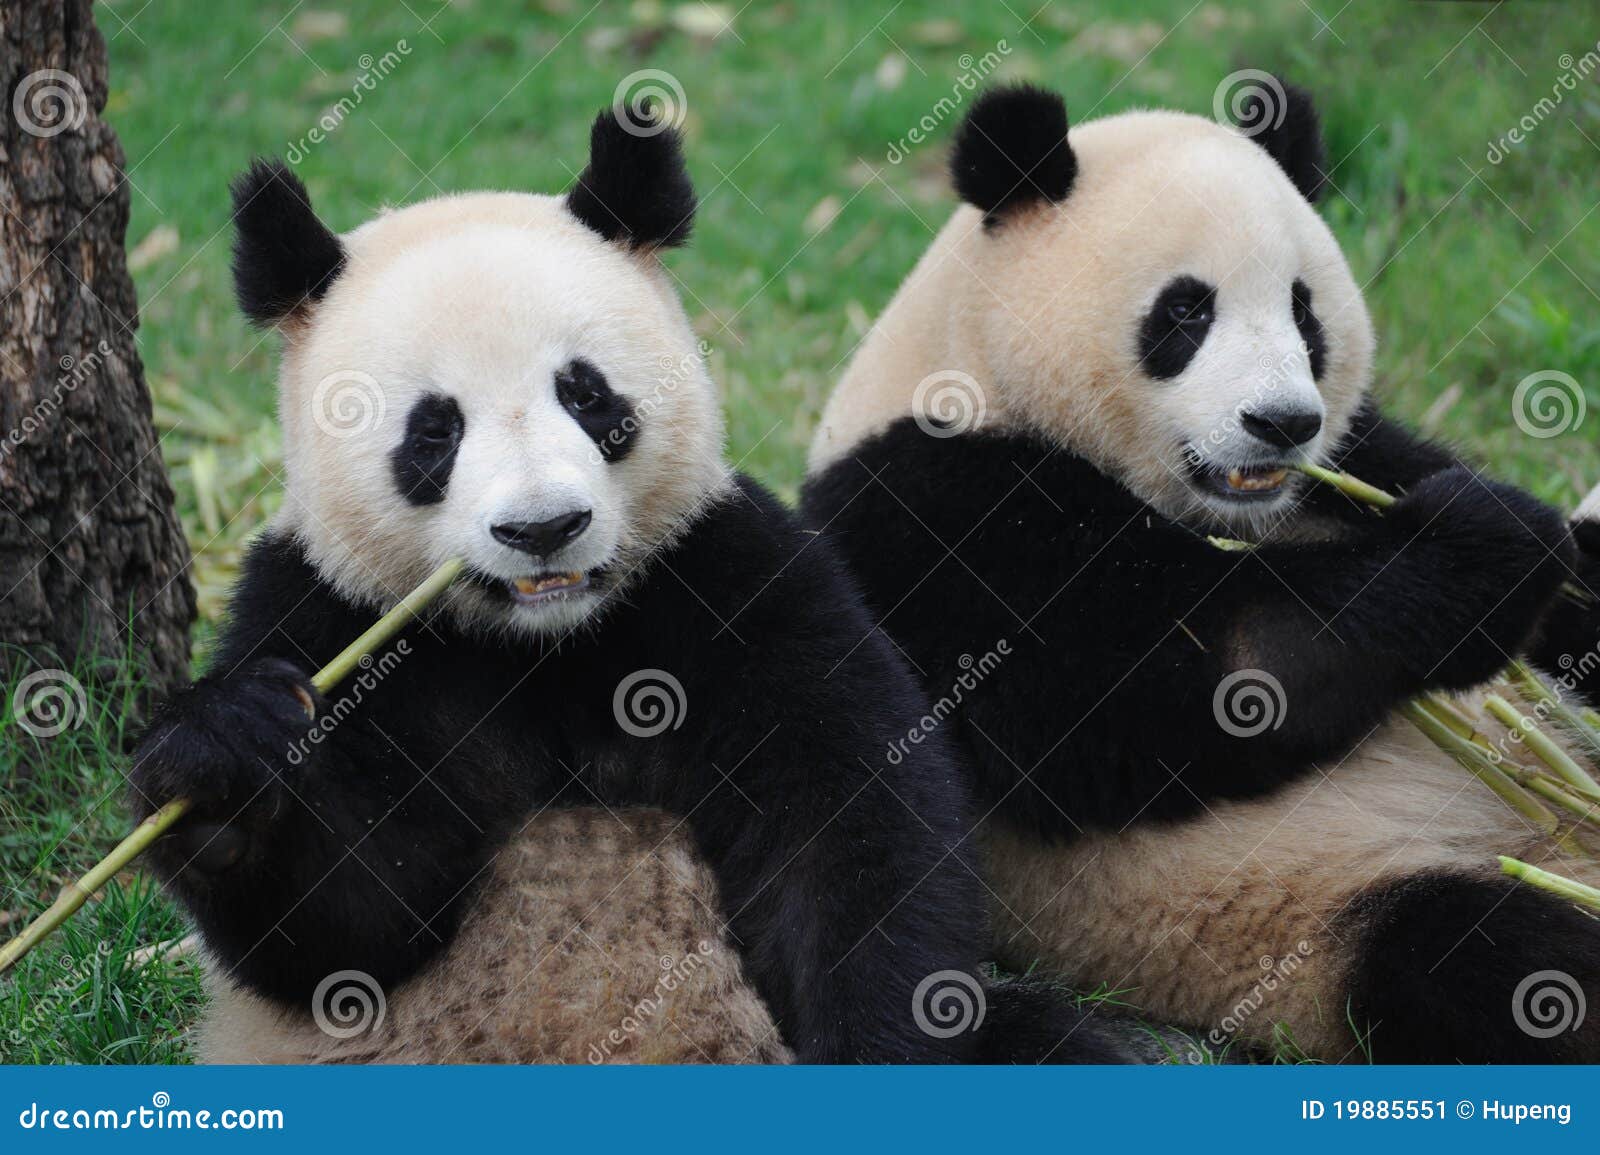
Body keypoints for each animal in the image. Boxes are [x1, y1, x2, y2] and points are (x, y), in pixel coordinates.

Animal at [128, 104, 1131, 1065]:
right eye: (434, 432)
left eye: (587, 395)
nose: (542, 530)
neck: (546, 642)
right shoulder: (326, 612)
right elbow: (347, 927)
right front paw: (219, 765)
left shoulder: (729, 579)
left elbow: (853, 828)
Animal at [801, 80, 1600, 1063]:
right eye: (1185, 314)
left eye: (1304, 312)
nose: (1283, 423)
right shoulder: (924, 511)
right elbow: (1184, 683)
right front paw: (1490, 543)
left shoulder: (1361, 456)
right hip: (1342, 909)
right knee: (1492, 958)